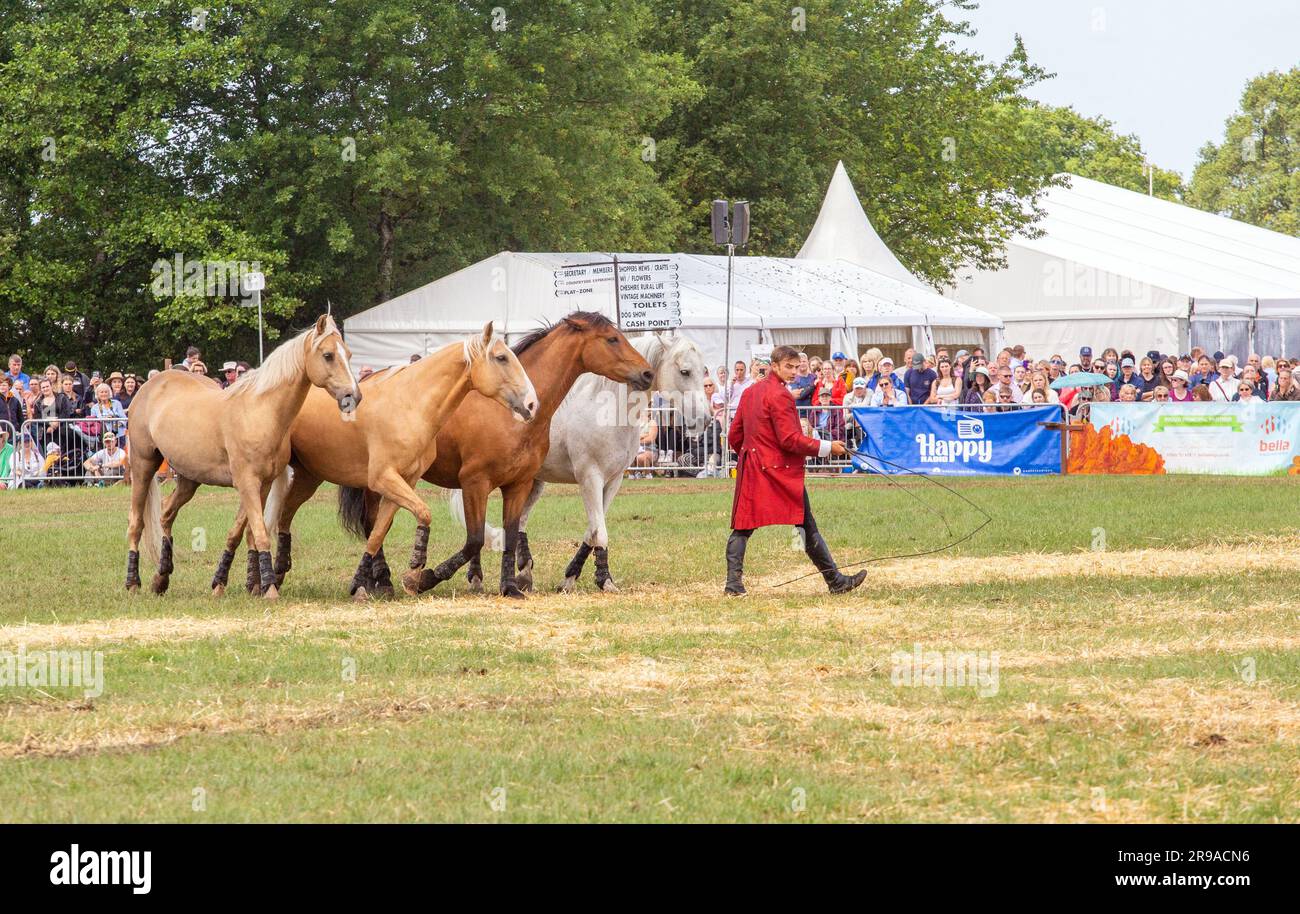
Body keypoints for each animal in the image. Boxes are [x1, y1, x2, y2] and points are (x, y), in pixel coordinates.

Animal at [125, 314, 360, 598]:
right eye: (328, 355)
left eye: (348, 354)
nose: (353, 396)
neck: (260, 412)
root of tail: (151, 385)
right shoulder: (247, 483)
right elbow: (259, 532)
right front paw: (269, 588)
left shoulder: (263, 485)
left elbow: (239, 533)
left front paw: (227, 583)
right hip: (143, 466)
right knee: (136, 522)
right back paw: (132, 582)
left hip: (189, 479)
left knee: (166, 514)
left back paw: (161, 578)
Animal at [216, 322, 537, 599]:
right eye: (501, 357)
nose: (532, 403)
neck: (410, 404)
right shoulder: (385, 479)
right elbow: (423, 514)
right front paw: (415, 572)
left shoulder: (403, 482)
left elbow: (379, 532)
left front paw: (365, 582)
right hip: (263, 479)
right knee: (254, 525)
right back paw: (251, 582)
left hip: (307, 478)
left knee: (280, 518)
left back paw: (271, 575)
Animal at [335, 311, 654, 599]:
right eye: (612, 338)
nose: (647, 373)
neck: (511, 413)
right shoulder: (475, 483)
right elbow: (474, 540)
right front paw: (426, 578)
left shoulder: (519, 485)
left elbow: (510, 536)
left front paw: (510, 587)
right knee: (374, 524)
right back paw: (380, 582)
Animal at [450, 331, 709, 592]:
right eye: (685, 371)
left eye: (704, 370)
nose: (705, 419)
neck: (607, 410)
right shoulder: (590, 478)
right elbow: (599, 532)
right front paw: (605, 580)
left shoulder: (613, 481)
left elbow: (592, 530)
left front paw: (571, 577)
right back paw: (477, 577)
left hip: (532, 481)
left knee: (519, 521)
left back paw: (523, 572)